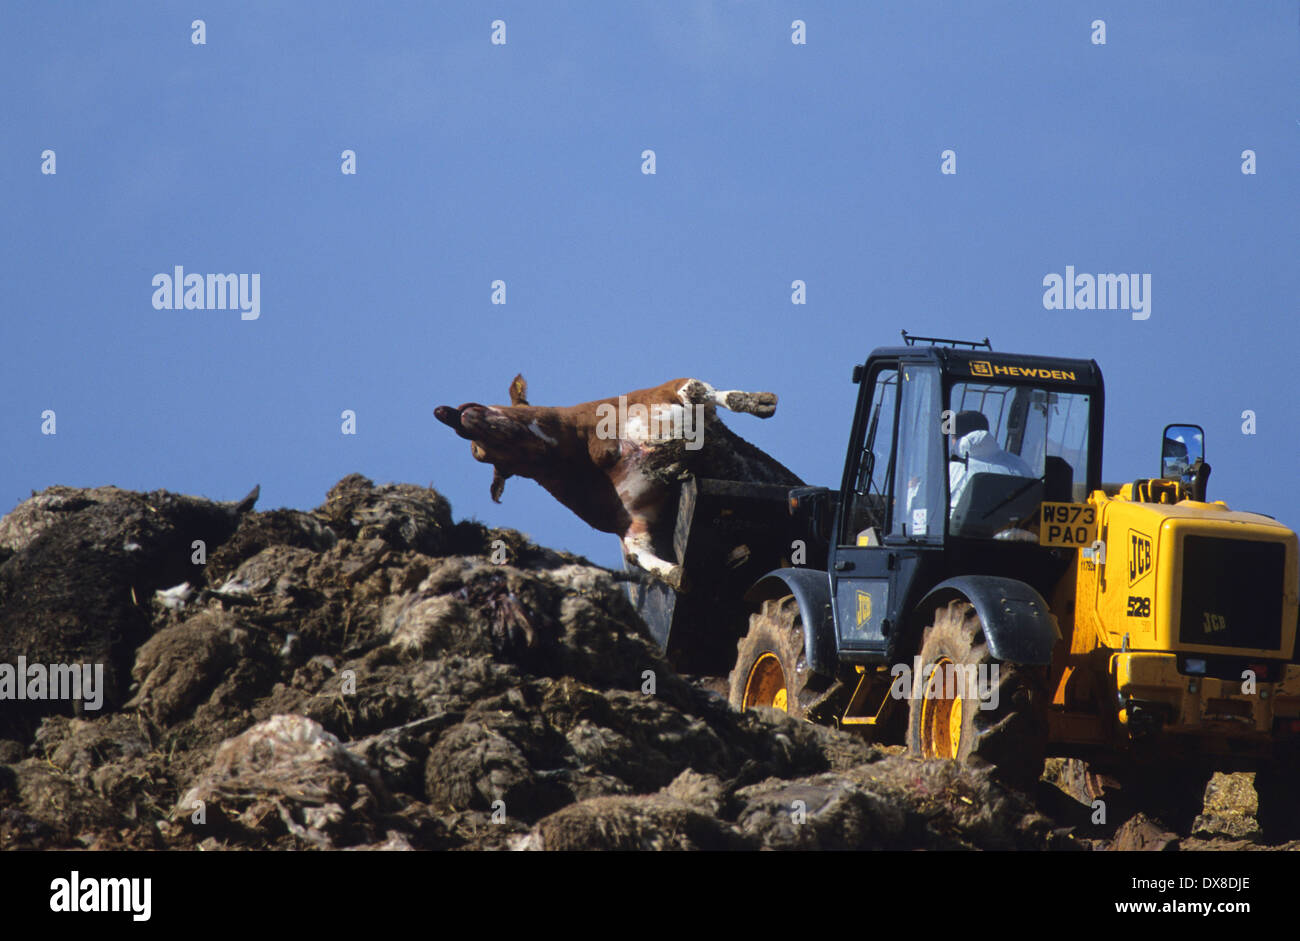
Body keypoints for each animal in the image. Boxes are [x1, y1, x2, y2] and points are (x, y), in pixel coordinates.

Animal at [435, 375, 802, 588]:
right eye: (488, 458)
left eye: (486, 406)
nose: (450, 414)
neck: (592, 449)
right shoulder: (633, 525)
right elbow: (642, 558)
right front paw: (678, 574)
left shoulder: (669, 391)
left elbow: (697, 390)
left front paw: (762, 402)